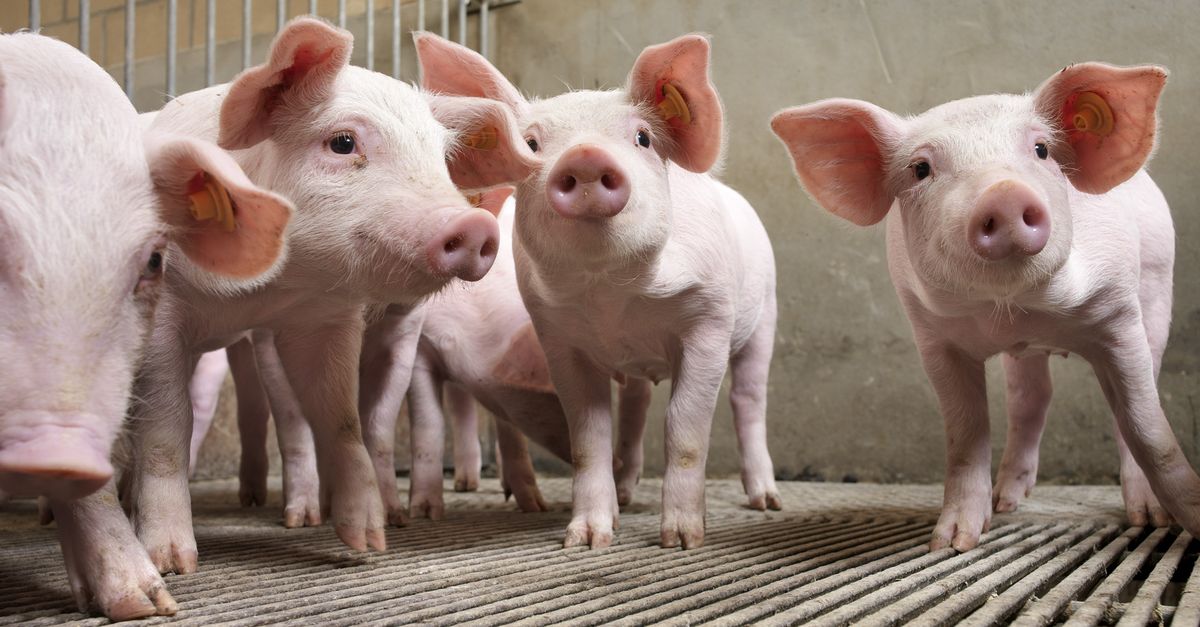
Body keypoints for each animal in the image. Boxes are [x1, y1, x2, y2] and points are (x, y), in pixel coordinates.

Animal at [55, 15, 535, 593]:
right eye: (343, 141)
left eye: (443, 159)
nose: (477, 224)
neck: (263, 291)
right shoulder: (165, 313)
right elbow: (169, 427)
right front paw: (173, 564)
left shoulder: (322, 319)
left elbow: (343, 420)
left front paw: (370, 541)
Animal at [415, 33, 783, 550]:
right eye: (531, 144)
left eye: (643, 138)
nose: (585, 157)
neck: (612, 295)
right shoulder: (558, 338)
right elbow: (589, 437)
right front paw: (587, 540)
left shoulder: (709, 318)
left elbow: (685, 429)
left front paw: (682, 541)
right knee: (634, 409)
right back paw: (626, 497)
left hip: (765, 315)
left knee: (749, 400)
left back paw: (767, 502)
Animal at [771, 62, 1200, 550]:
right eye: (921, 168)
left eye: (1042, 149)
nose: (1004, 193)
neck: (1015, 312)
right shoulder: (935, 340)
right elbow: (965, 434)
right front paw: (952, 543)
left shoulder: (1119, 314)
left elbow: (1146, 426)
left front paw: (1179, 523)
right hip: (1026, 357)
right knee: (1032, 398)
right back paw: (1007, 501)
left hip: (1158, 287)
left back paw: (1144, 516)